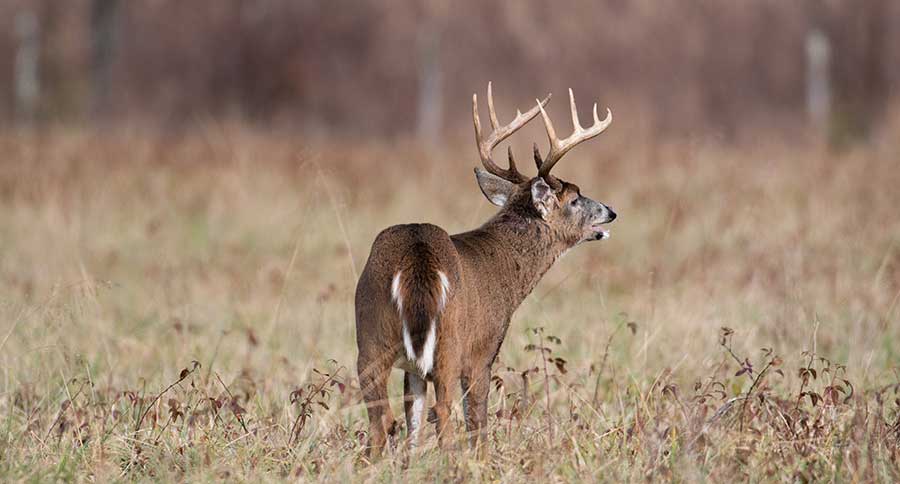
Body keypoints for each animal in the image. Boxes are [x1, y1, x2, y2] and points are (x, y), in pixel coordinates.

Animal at [355, 83, 616, 456]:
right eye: (575, 198)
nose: (610, 211)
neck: (506, 269)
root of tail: (417, 256)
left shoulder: (414, 367)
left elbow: (413, 421)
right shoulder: (483, 349)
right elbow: (477, 420)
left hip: (370, 335)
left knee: (381, 418)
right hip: (449, 342)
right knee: (442, 411)